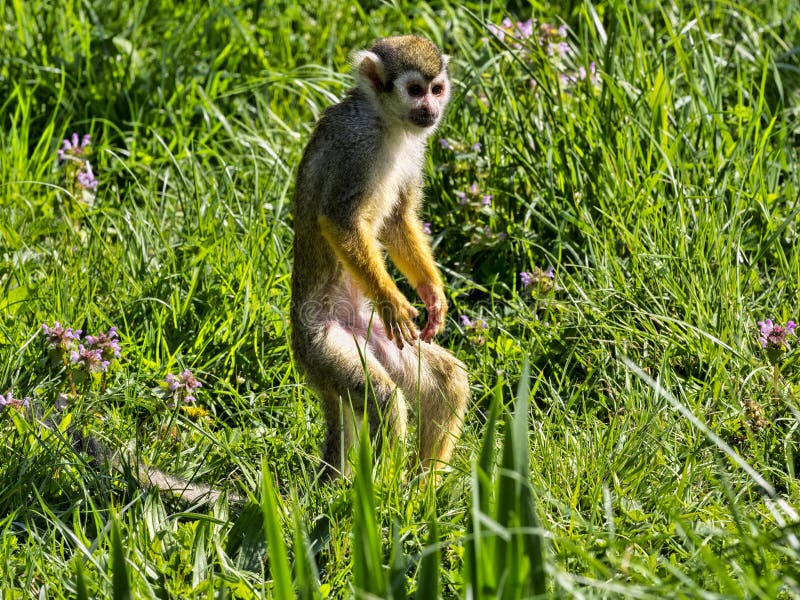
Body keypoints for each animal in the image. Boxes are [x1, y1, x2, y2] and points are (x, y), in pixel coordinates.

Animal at [290, 35, 471, 480]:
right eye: (414, 89)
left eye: (436, 89)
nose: (430, 109)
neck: (387, 123)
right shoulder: (356, 145)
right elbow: (338, 221)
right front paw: (393, 300)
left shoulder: (417, 147)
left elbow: (397, 221)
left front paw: (433, 295)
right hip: (323, 347)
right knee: (383, 396)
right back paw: (386, 492)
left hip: (375, 336)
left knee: (447, 381)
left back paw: (424, 487)